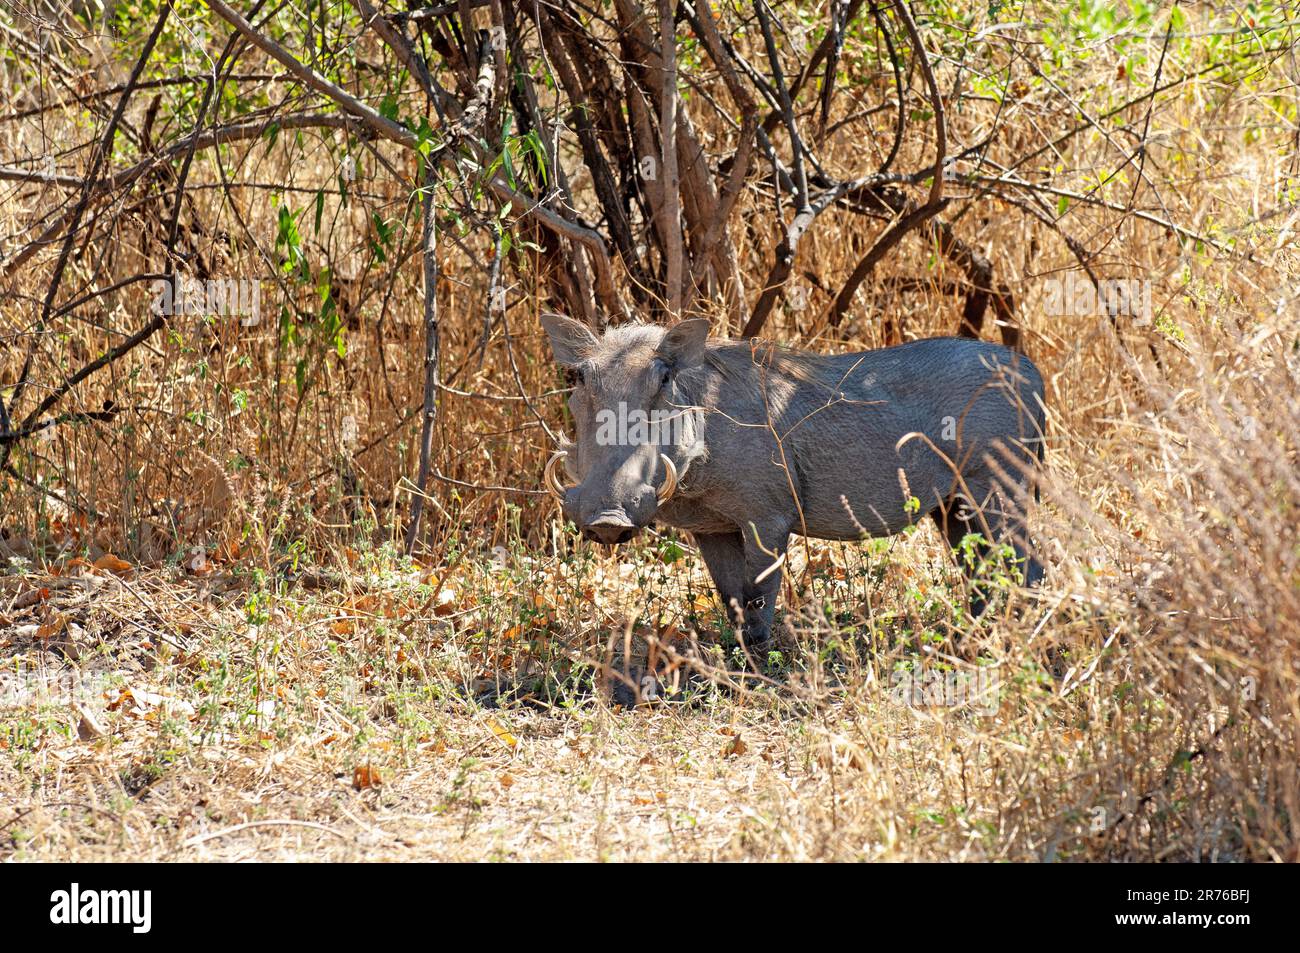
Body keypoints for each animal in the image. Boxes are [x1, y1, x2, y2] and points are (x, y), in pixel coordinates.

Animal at [541, 315, 1046, 655]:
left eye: (664, 379)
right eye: (579, 378)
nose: (607, 519)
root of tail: (1031, 371)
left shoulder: (767, 518)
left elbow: (759, 596)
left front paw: (760, 663)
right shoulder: (712, 529)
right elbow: (732, 599)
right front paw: (737, 656)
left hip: (1000, 492)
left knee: (1030, 568)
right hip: (954, 506)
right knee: (982, 572)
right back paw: (973, 639)